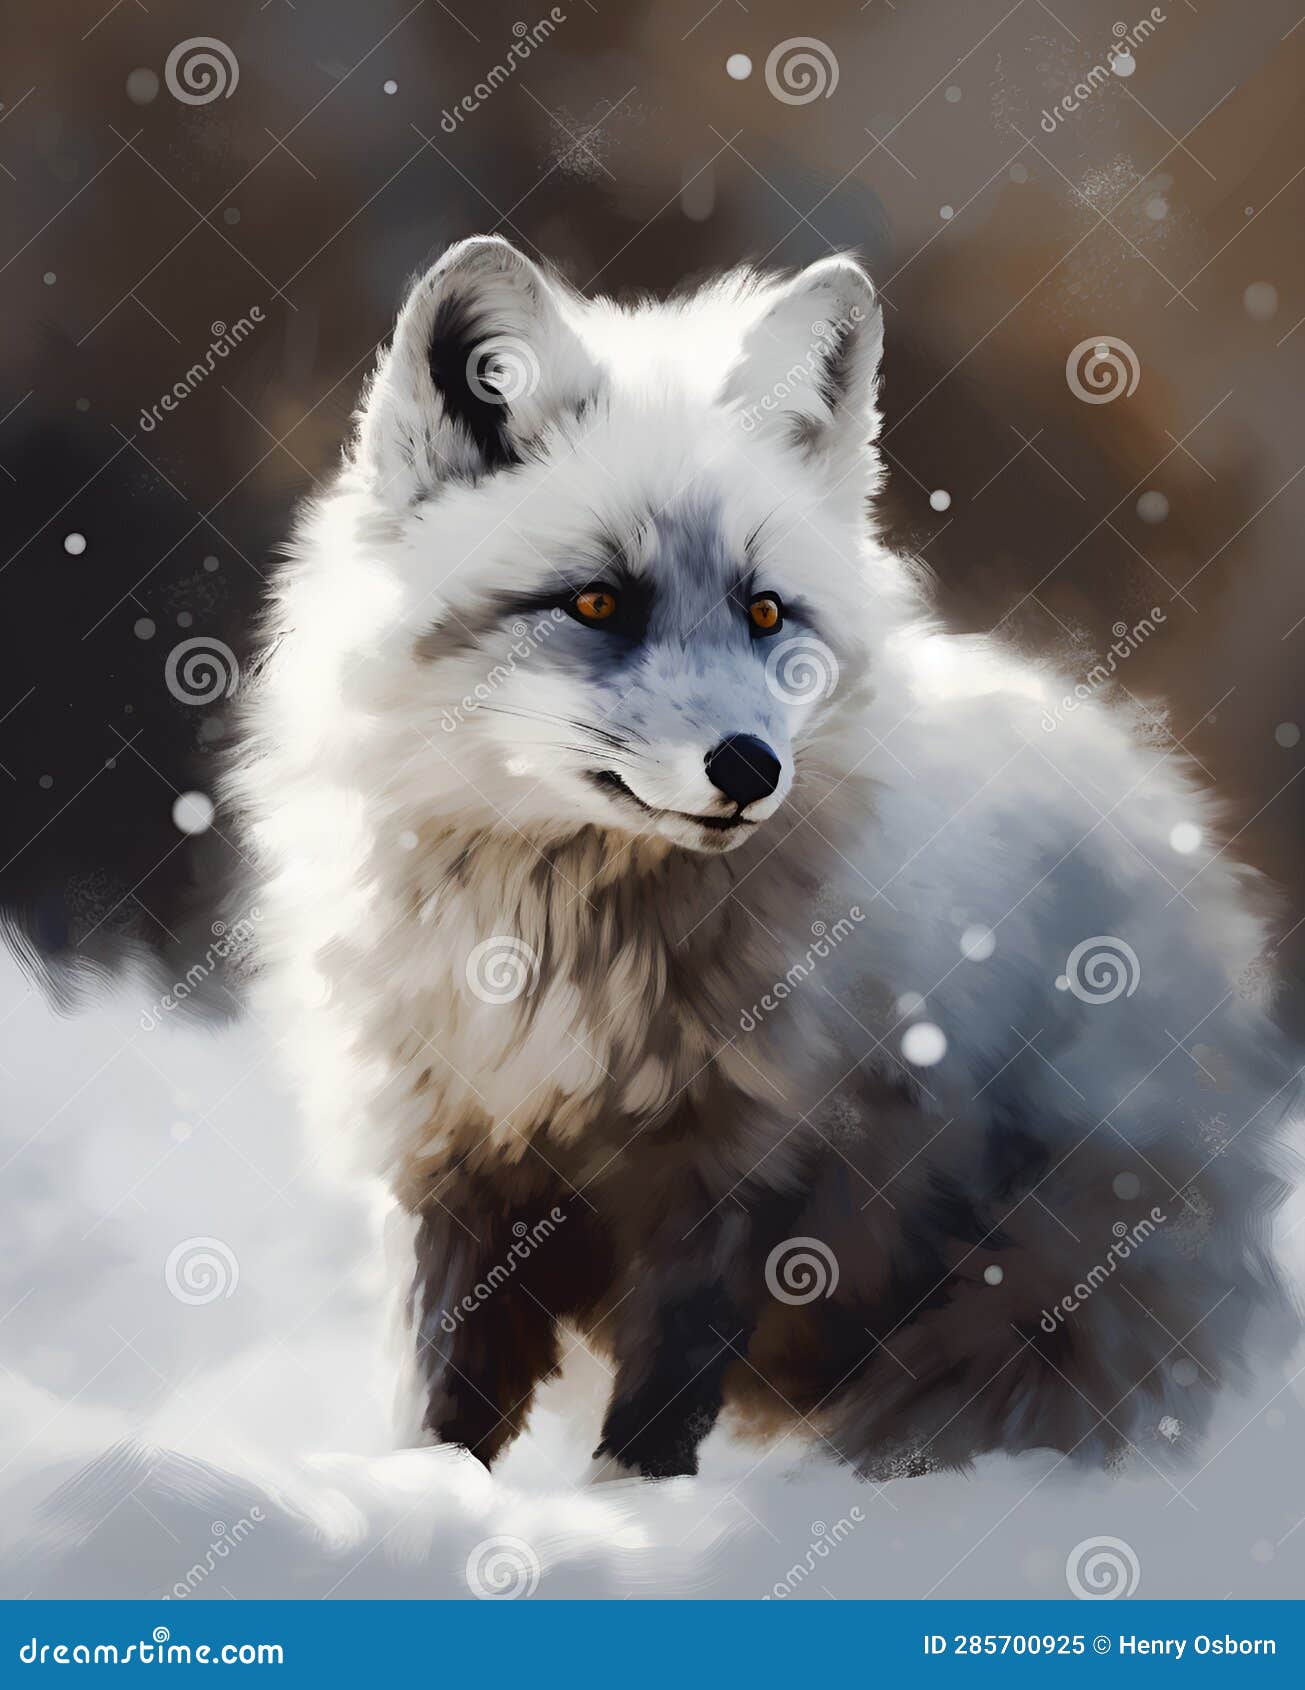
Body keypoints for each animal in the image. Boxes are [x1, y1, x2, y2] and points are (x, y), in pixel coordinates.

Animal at [231, 234, 1301, 1481]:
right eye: (598, 600)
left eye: (766, 612)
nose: (748, 766)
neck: (569, 965)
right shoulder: (449, 1164)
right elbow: (443, 1398)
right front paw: (427, 1499)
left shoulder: (745, 1175)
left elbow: (658, 1410)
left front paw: (624, 1512)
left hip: (1031, 1293)